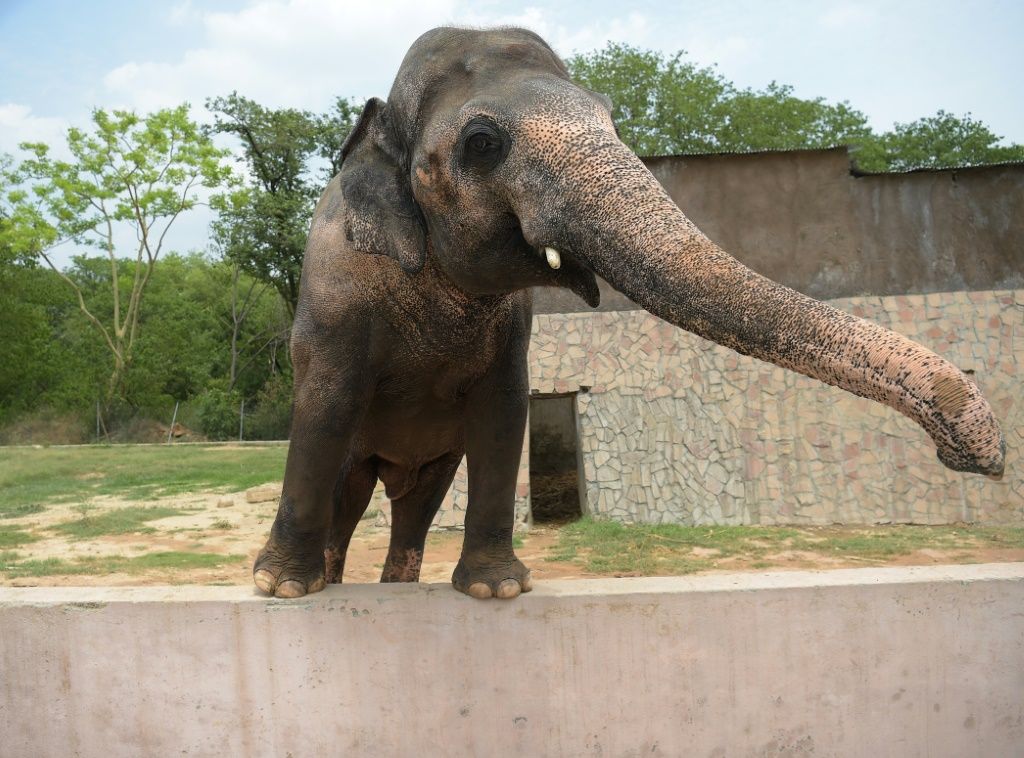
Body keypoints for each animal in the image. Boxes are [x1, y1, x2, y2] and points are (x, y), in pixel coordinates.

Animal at [253, 26, 1005, 600]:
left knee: (417, 503)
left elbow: (504, 411)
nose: (975, 459)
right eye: (482, 143)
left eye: (612, 118)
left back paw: (397, 587)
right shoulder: (334, 298)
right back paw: (323, 580)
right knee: (351, 490)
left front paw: (497, 589)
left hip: (427, 470)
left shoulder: (512, 327)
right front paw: (280, 588)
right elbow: (326, 404)